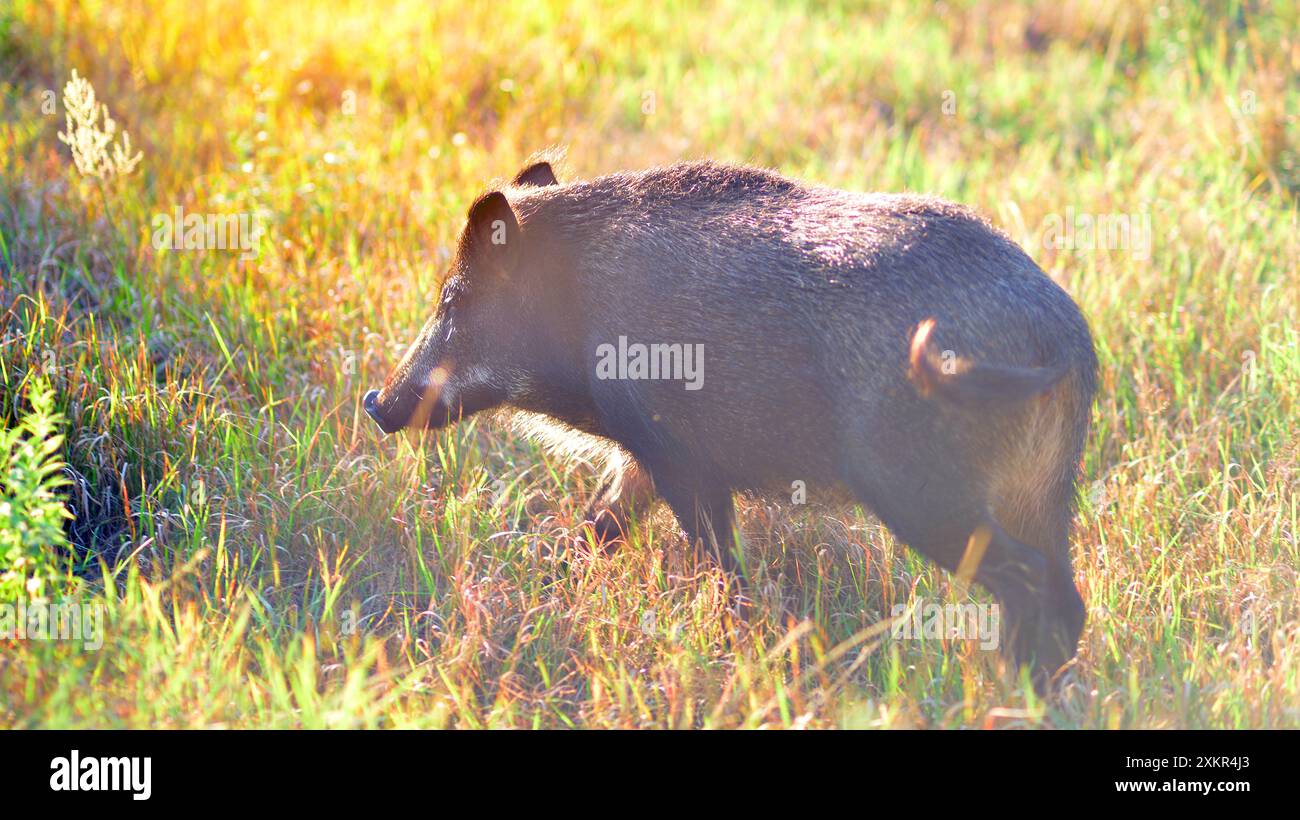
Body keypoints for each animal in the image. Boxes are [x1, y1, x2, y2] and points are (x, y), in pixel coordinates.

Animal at [364, 158, 1097, 687]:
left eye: (453, 297)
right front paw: (549, 580)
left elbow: (720, 561)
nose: (376, 402)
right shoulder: (642, 454)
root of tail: (1061, 335)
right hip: (1040, 489)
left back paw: (1008, 689)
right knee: (1067, 593)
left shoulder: (680, 457)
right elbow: (597, 526)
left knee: (1035, 584)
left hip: (922, 487)